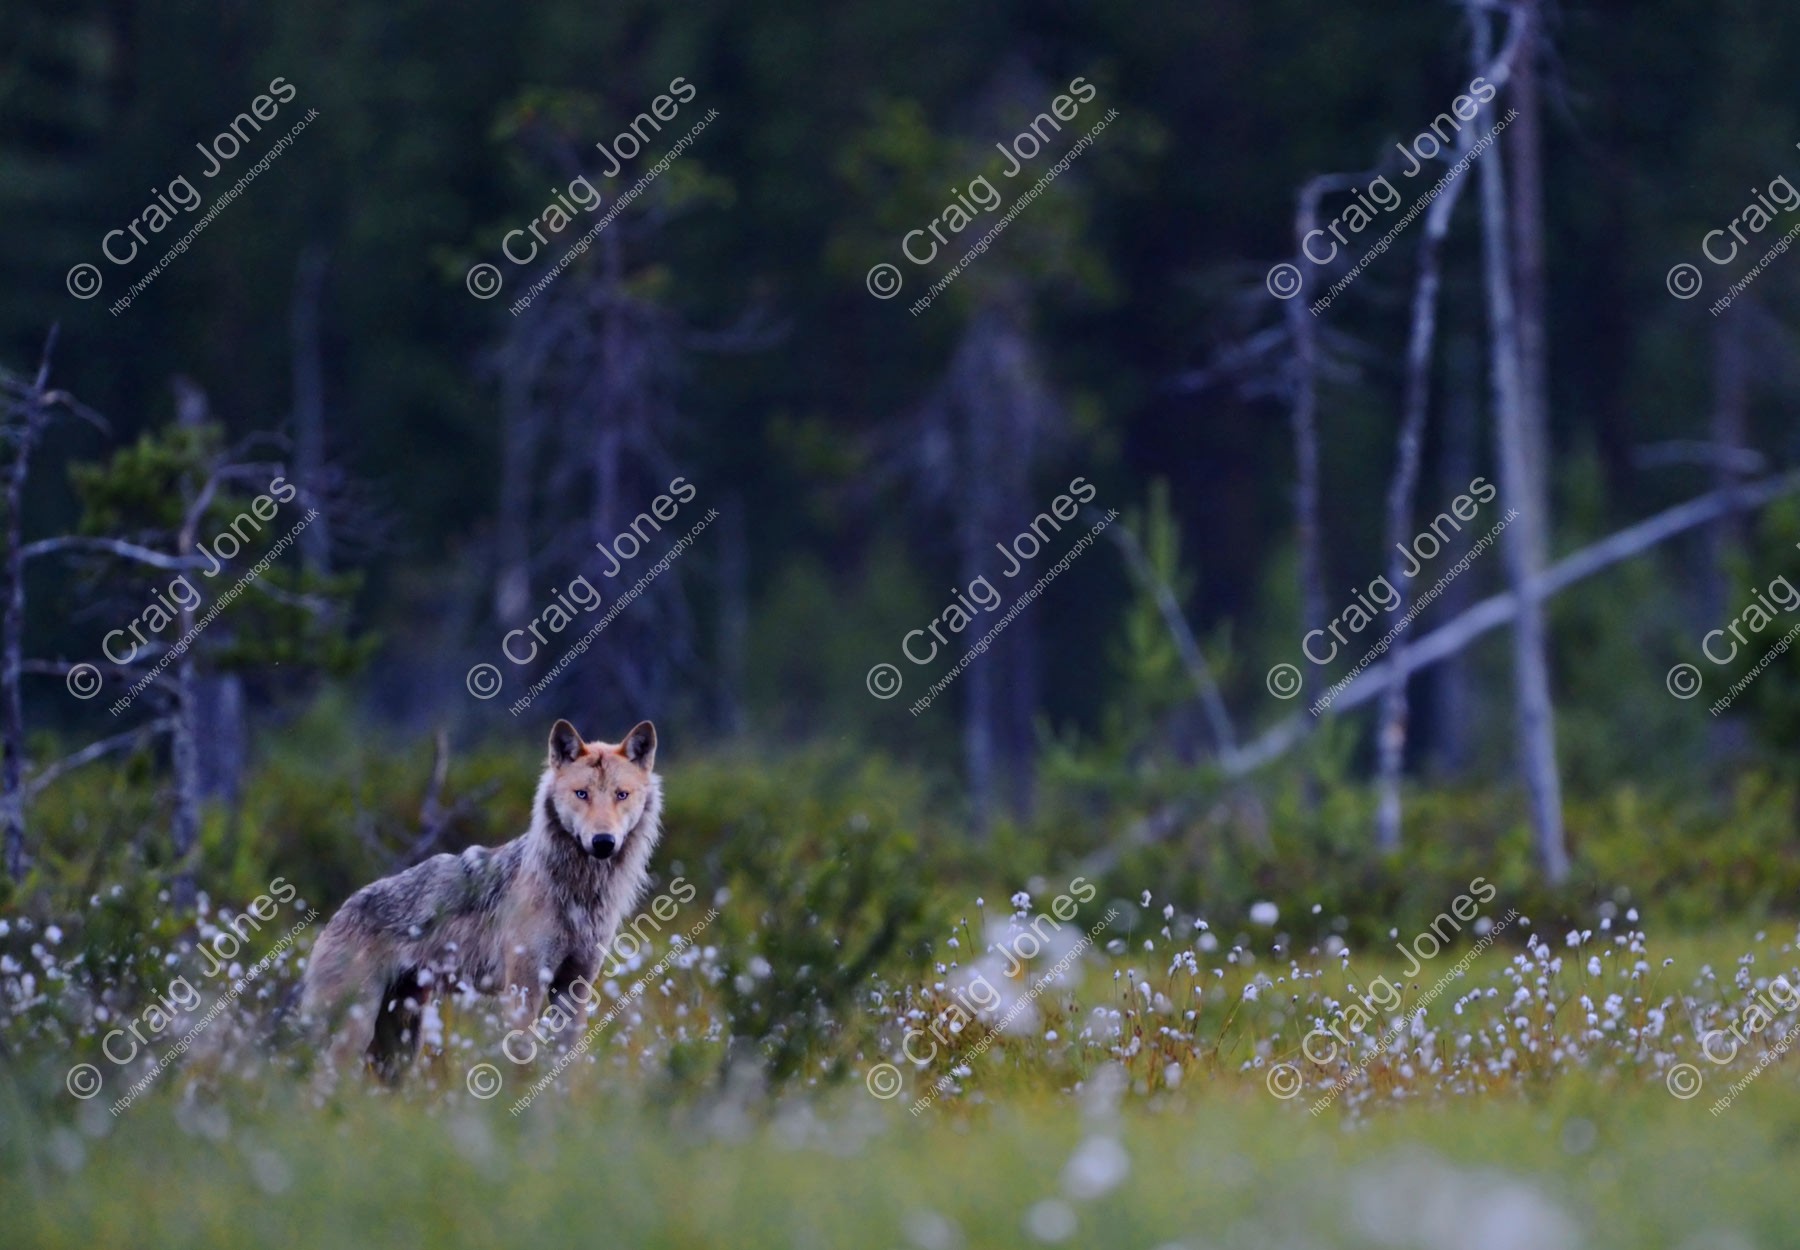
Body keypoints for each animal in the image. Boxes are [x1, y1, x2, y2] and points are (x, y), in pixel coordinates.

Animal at [299, 719, 663, 1080]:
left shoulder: (575, 987)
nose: (603, 841)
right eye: (582, 794)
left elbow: (567, 1065)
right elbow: (520, 1061)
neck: (579, 894)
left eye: (621, 795)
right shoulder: (523, 989)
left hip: (401, 1048)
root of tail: (339, 912)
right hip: (356, 1034)